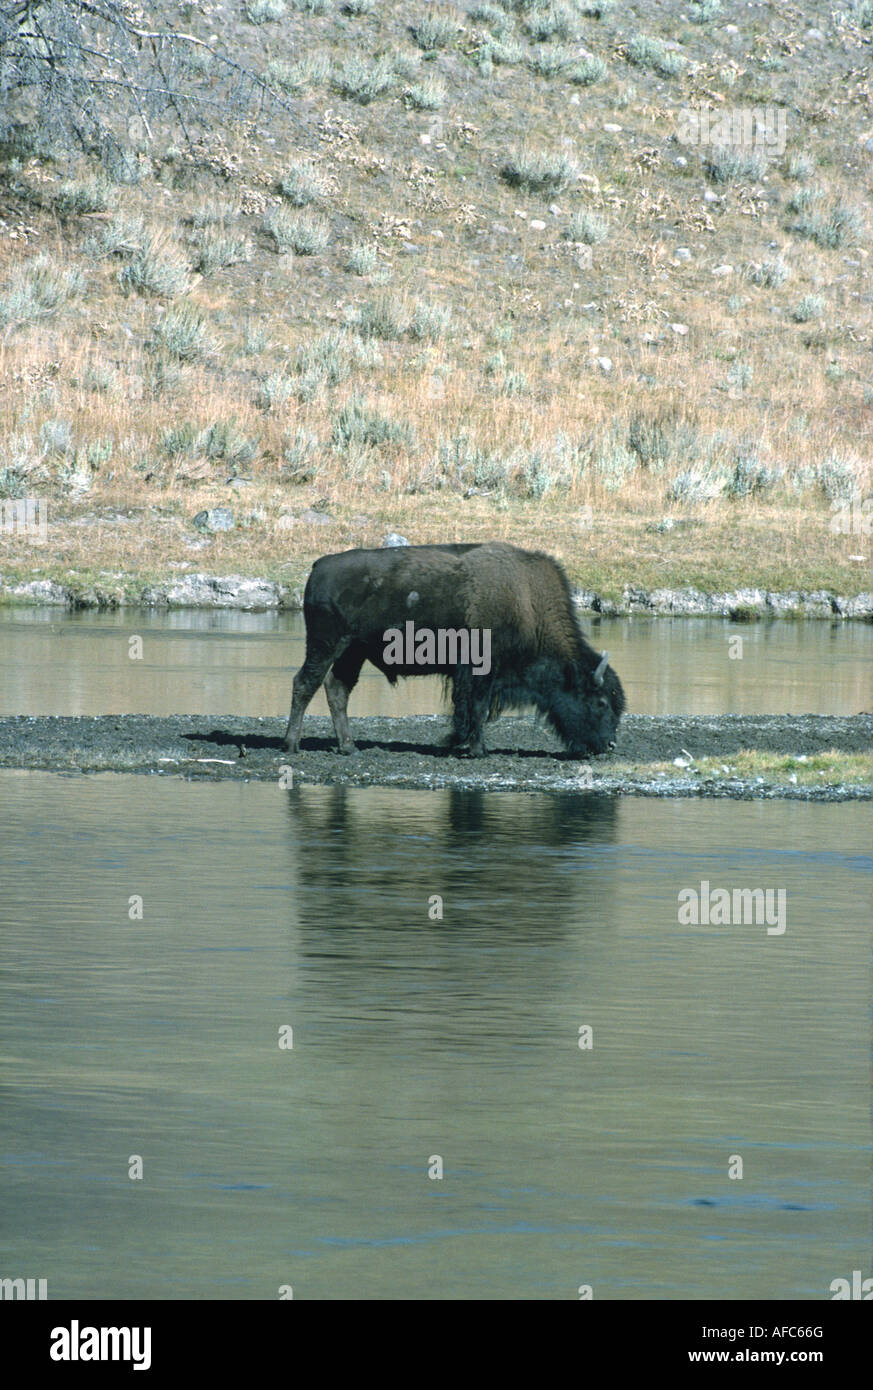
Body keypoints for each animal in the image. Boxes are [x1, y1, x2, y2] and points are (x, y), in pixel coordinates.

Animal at [283, 542, 625, 758]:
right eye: (600, 703)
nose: (610, 746)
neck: (525, 601)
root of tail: (319, 565)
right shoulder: (479, 672)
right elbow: (476, 708)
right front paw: (474, 749)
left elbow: (471, 709)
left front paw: (459, 743)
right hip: (326, 645)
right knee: (305, 683)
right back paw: (291, 745)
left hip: (353, 652)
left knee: (337, 688)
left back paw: (349, 747)